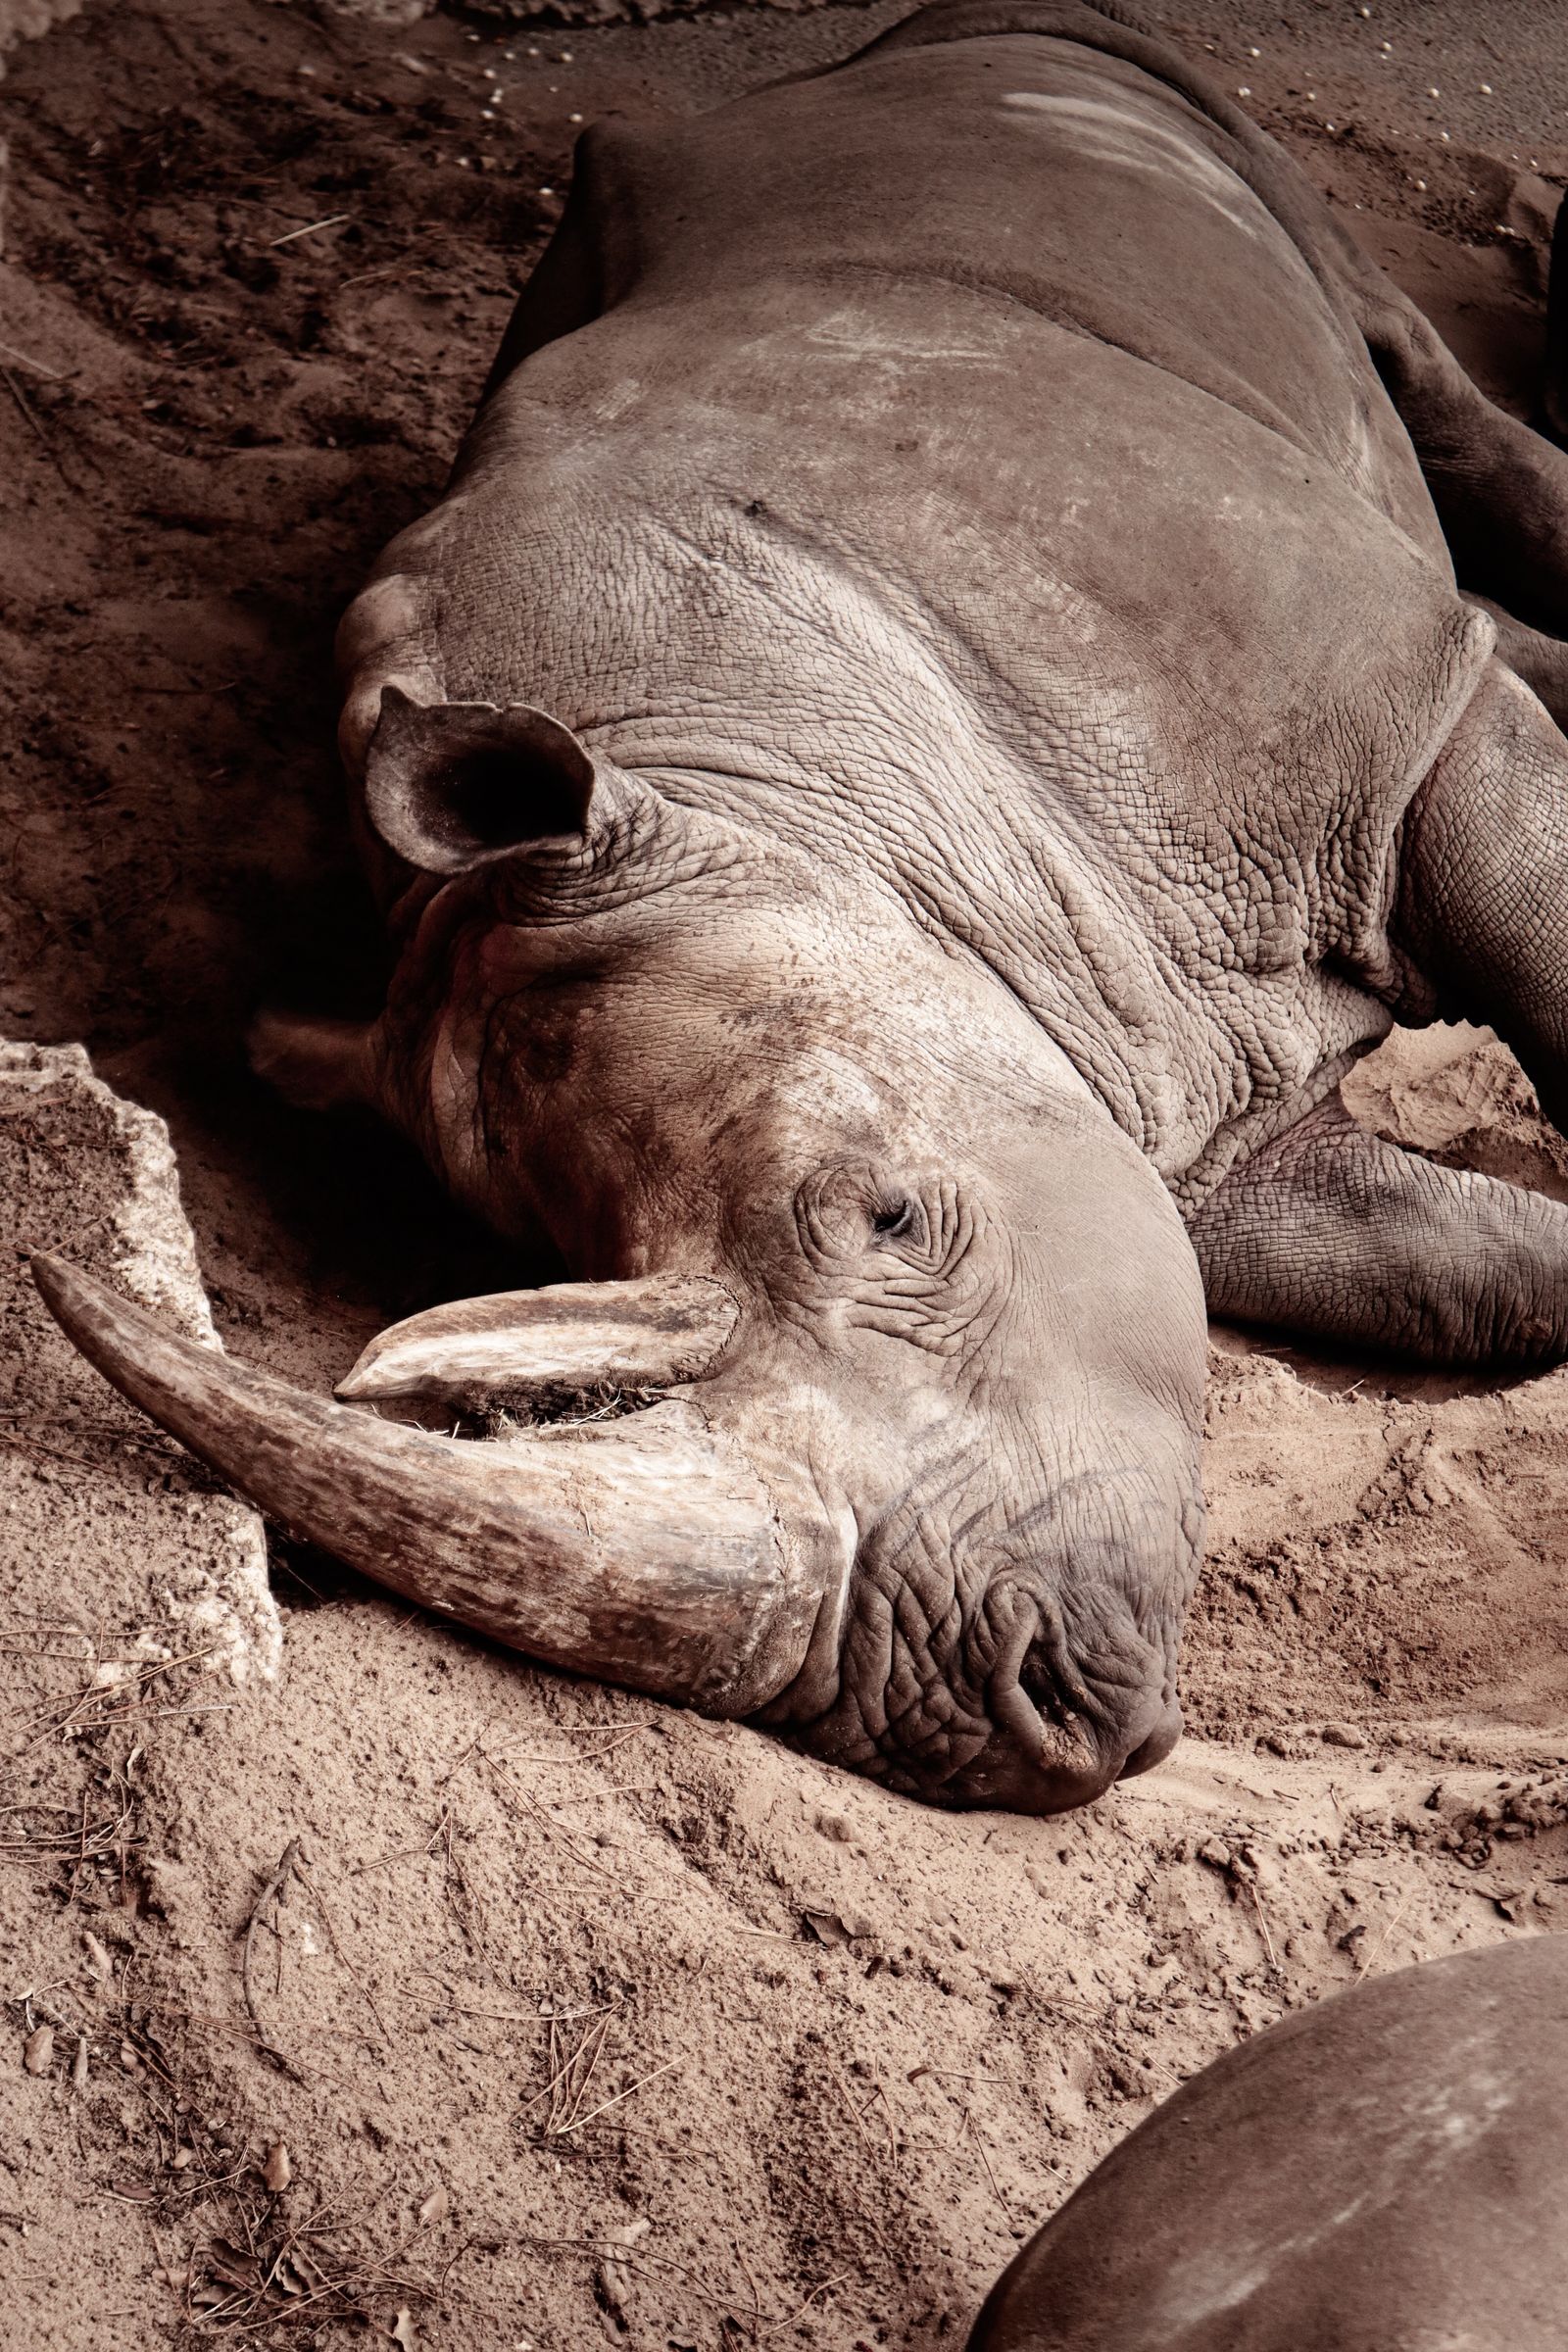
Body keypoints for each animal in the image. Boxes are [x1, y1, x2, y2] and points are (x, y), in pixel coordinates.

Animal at [36, 0, 1568, 1813]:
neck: (786, 789)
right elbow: (1459, 1270)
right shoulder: (1177, 1116)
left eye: (895, 1220)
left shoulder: (1388, 721)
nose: (978, 1699)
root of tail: (899, 47)